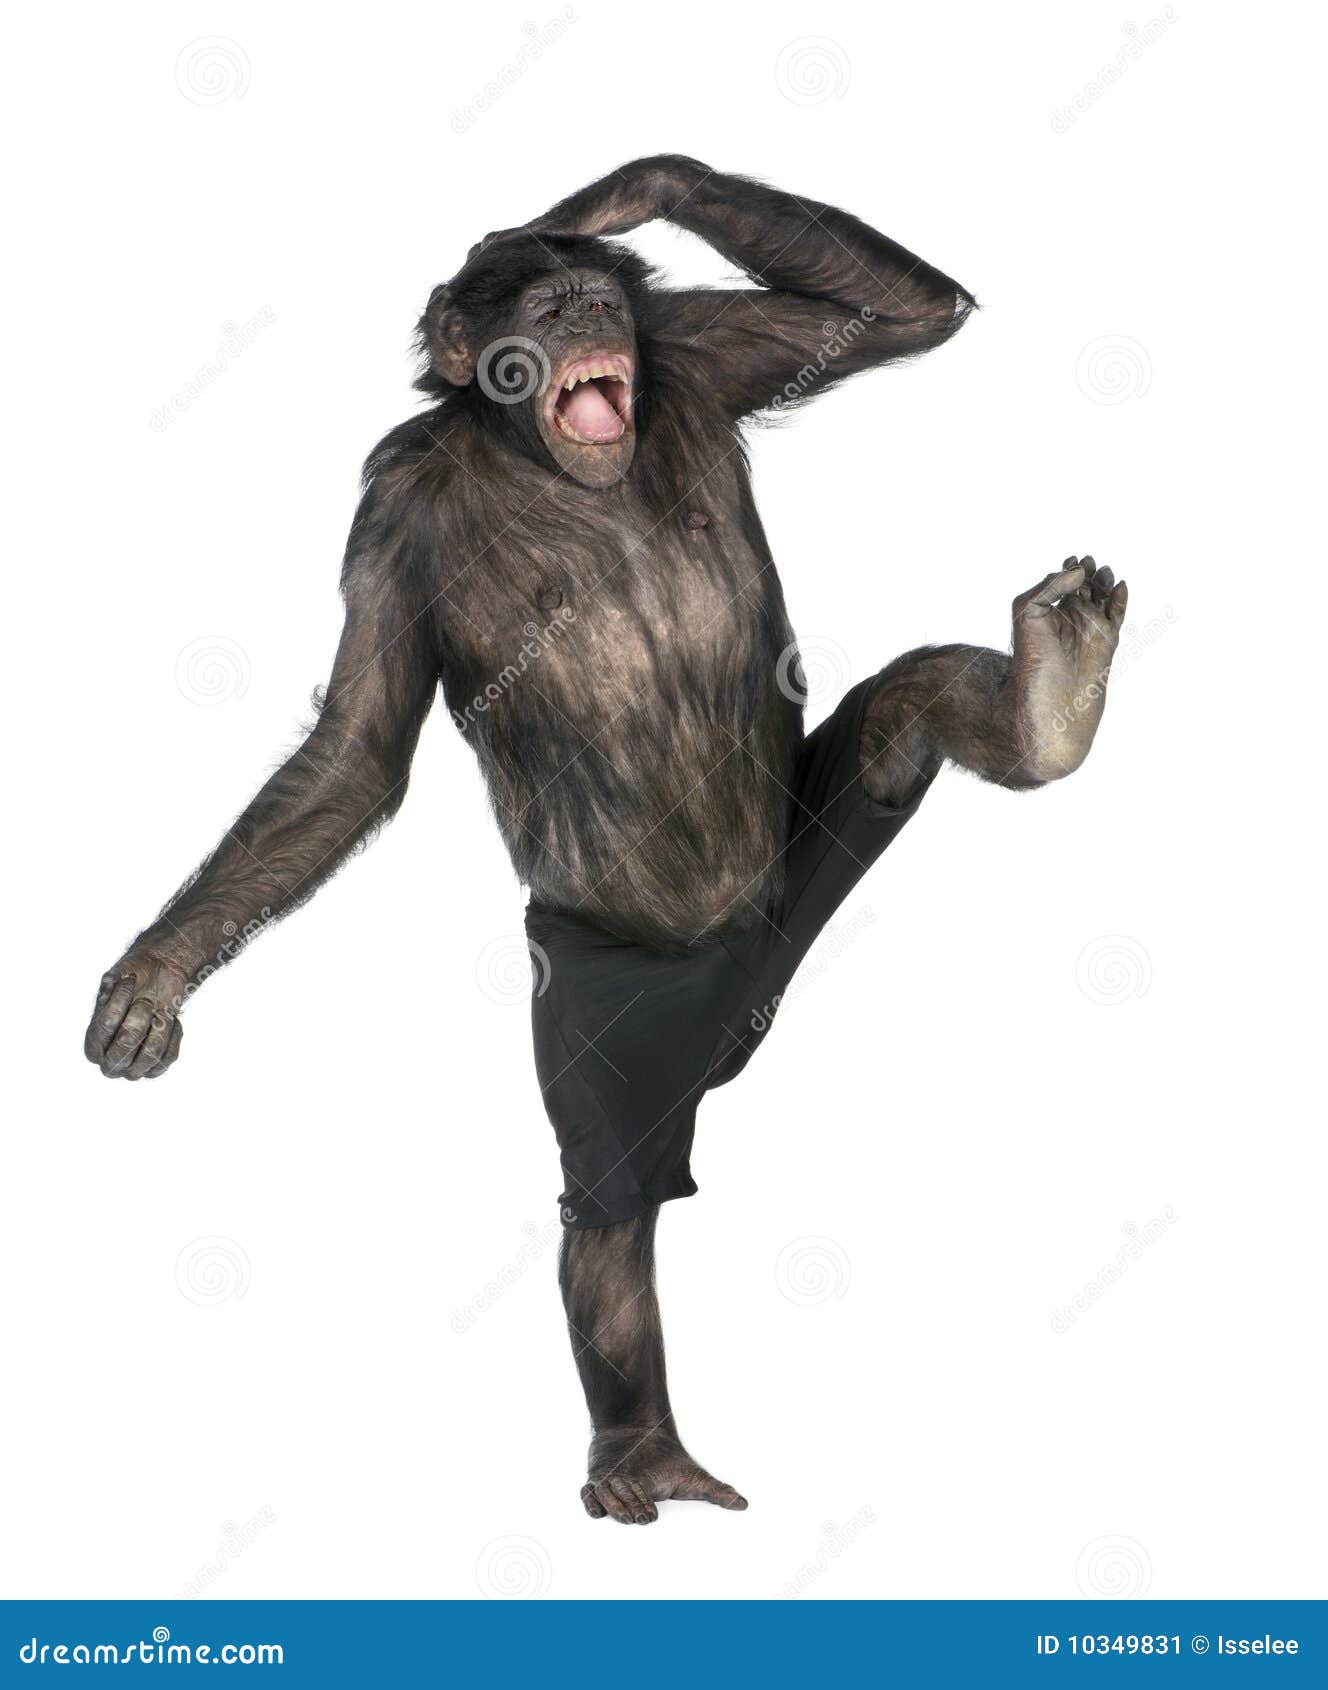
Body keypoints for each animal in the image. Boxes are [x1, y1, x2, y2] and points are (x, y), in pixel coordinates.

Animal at [85, 157, 1127, 1524]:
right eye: (547, 315)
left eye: (599, 305)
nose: (585, 312)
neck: (533, 455)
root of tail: (740, 997)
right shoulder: (387, 514)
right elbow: (356, 750)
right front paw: (155, 975)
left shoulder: (705, 355)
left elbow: (898, 314)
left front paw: (606, 198)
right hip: (607, 1009)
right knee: (609, 1213)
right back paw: (640, 1449)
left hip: (802, 868)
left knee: (906, 709)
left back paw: (1048, 698)